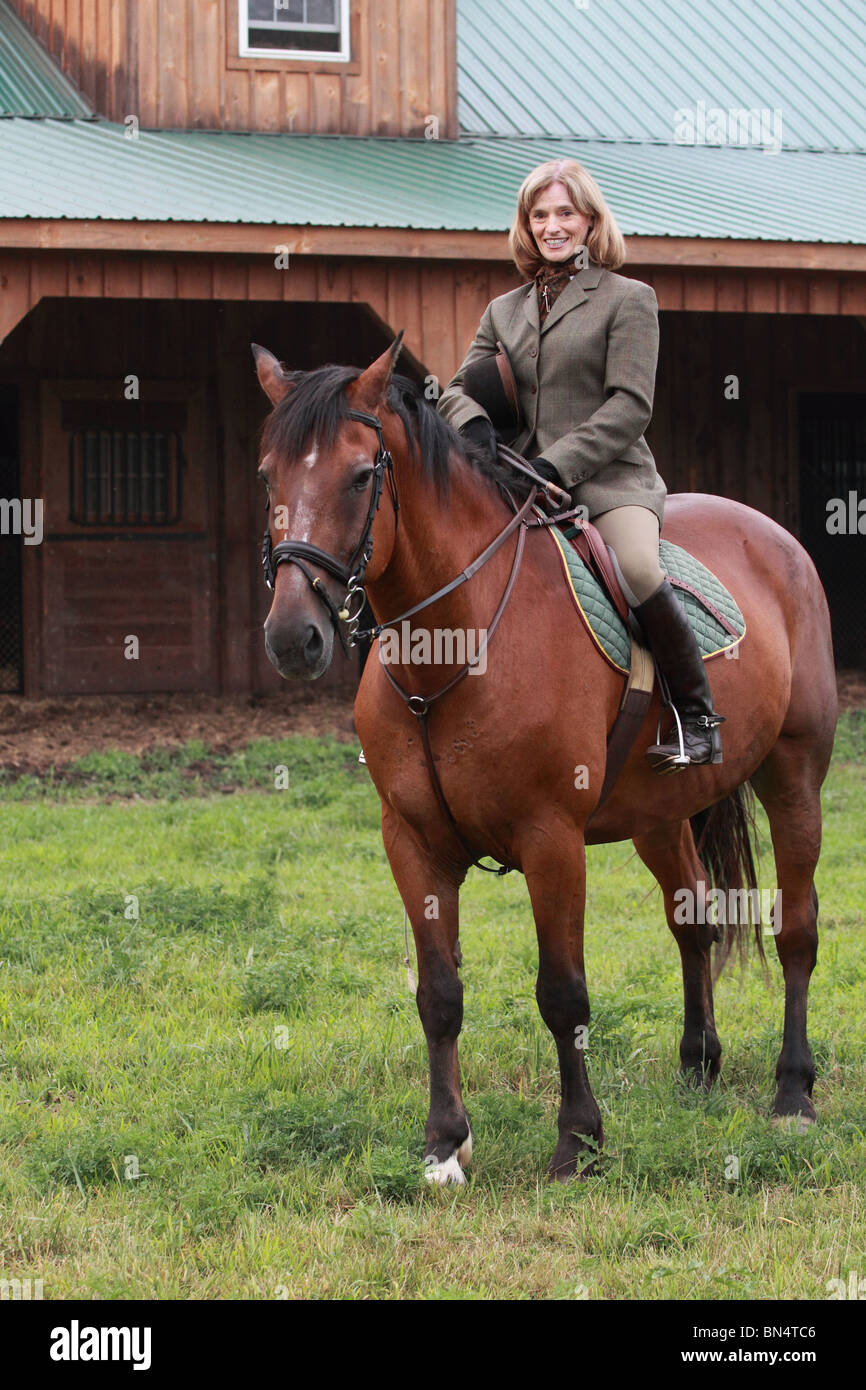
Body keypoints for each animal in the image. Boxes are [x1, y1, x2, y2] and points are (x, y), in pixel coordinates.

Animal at [252, 336, 837, 1184]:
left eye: (361, 475)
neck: (452, 650)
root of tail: (772, 534)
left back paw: (793, 1094)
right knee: (692, 920)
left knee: (796, 929)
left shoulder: (551, 838)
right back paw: (697, 1066)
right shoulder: (411, 843)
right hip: (658, 815)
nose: (292, 638)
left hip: (793, 776)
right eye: (269, 474)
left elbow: (562, 993)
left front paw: (579, 1142)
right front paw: (444, 1145)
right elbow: (439, 994)